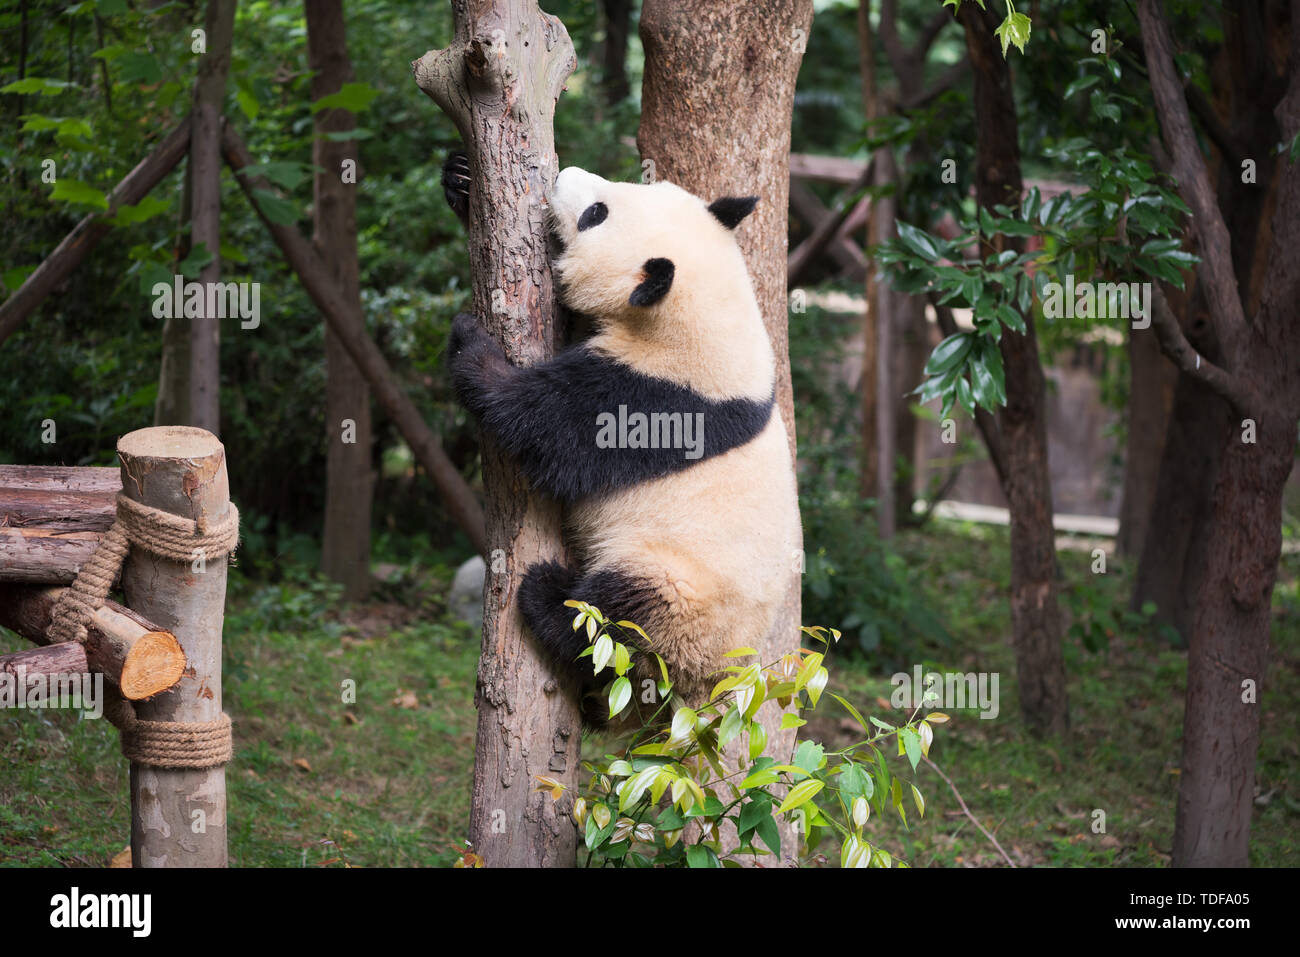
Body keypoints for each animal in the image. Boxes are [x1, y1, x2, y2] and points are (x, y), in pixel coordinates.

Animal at [443, 152, 800, 724]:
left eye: (596, 214)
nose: (564, 176)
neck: (702, 316)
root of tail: (703, 689)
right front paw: (461, 180)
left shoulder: (660, 395)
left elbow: (549, 432)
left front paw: (472, 348)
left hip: (685, 591)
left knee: (625, 618)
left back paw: (551, 598)